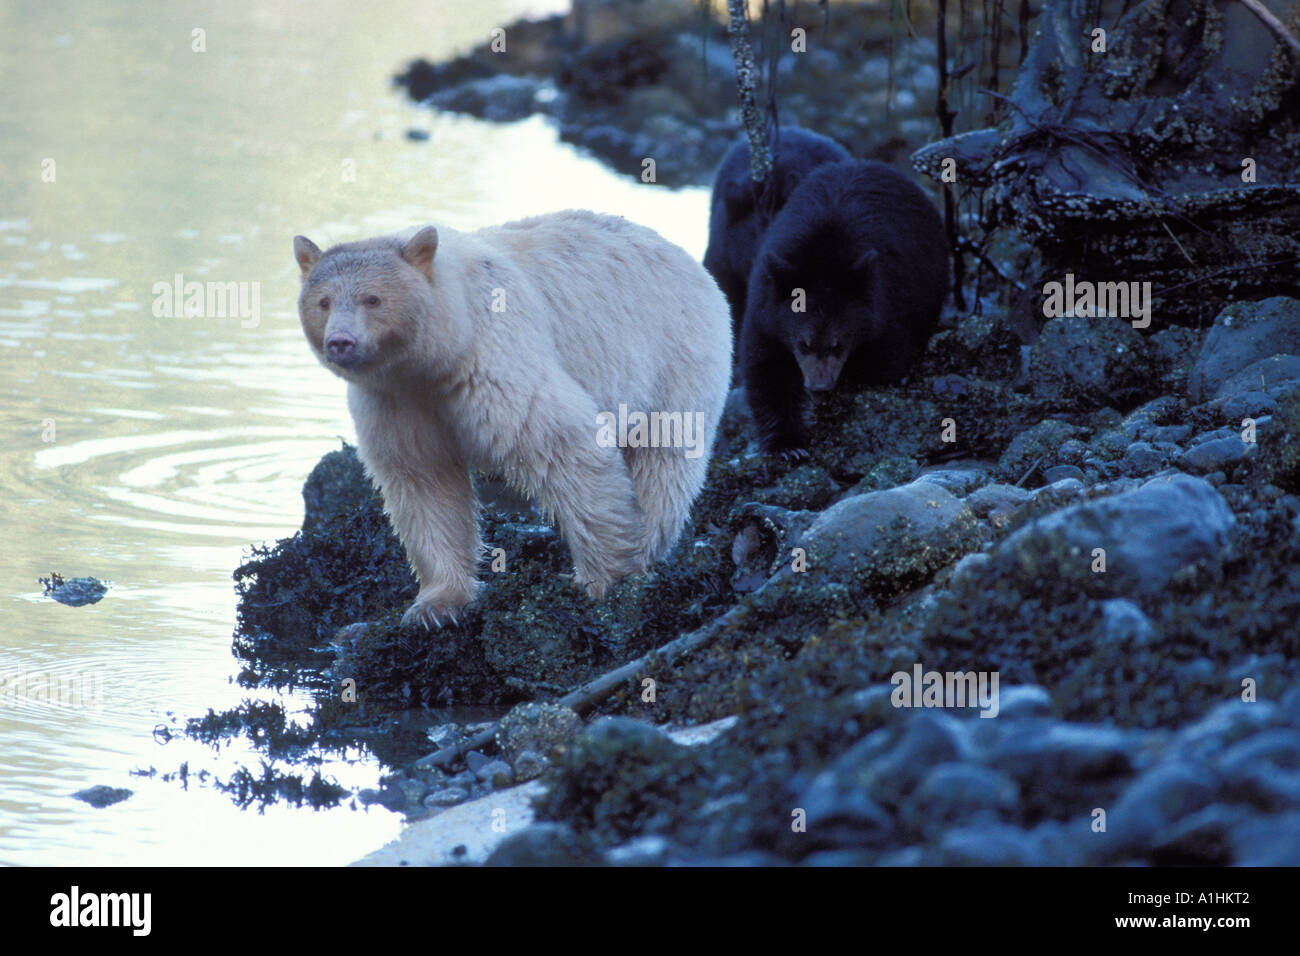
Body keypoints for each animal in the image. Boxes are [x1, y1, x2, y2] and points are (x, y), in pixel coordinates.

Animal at [293, 210, 732, 627]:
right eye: (324, 301)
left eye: (372, 299)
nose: (340, 342)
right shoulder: (396, 401)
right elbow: (424, 480)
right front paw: (435, 604)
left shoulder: (492, 354)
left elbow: (563, 444)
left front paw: (602, 579)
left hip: (673, 354)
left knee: (664, 461)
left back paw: (646, 549)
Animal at [739, 160, 950, 458]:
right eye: (803, 344)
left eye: (838, 345)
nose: (820, 386)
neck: (823, 257)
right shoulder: (766, 312)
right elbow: (767, 370)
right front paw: (788, 445)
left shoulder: (886, 306)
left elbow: (885, 363)